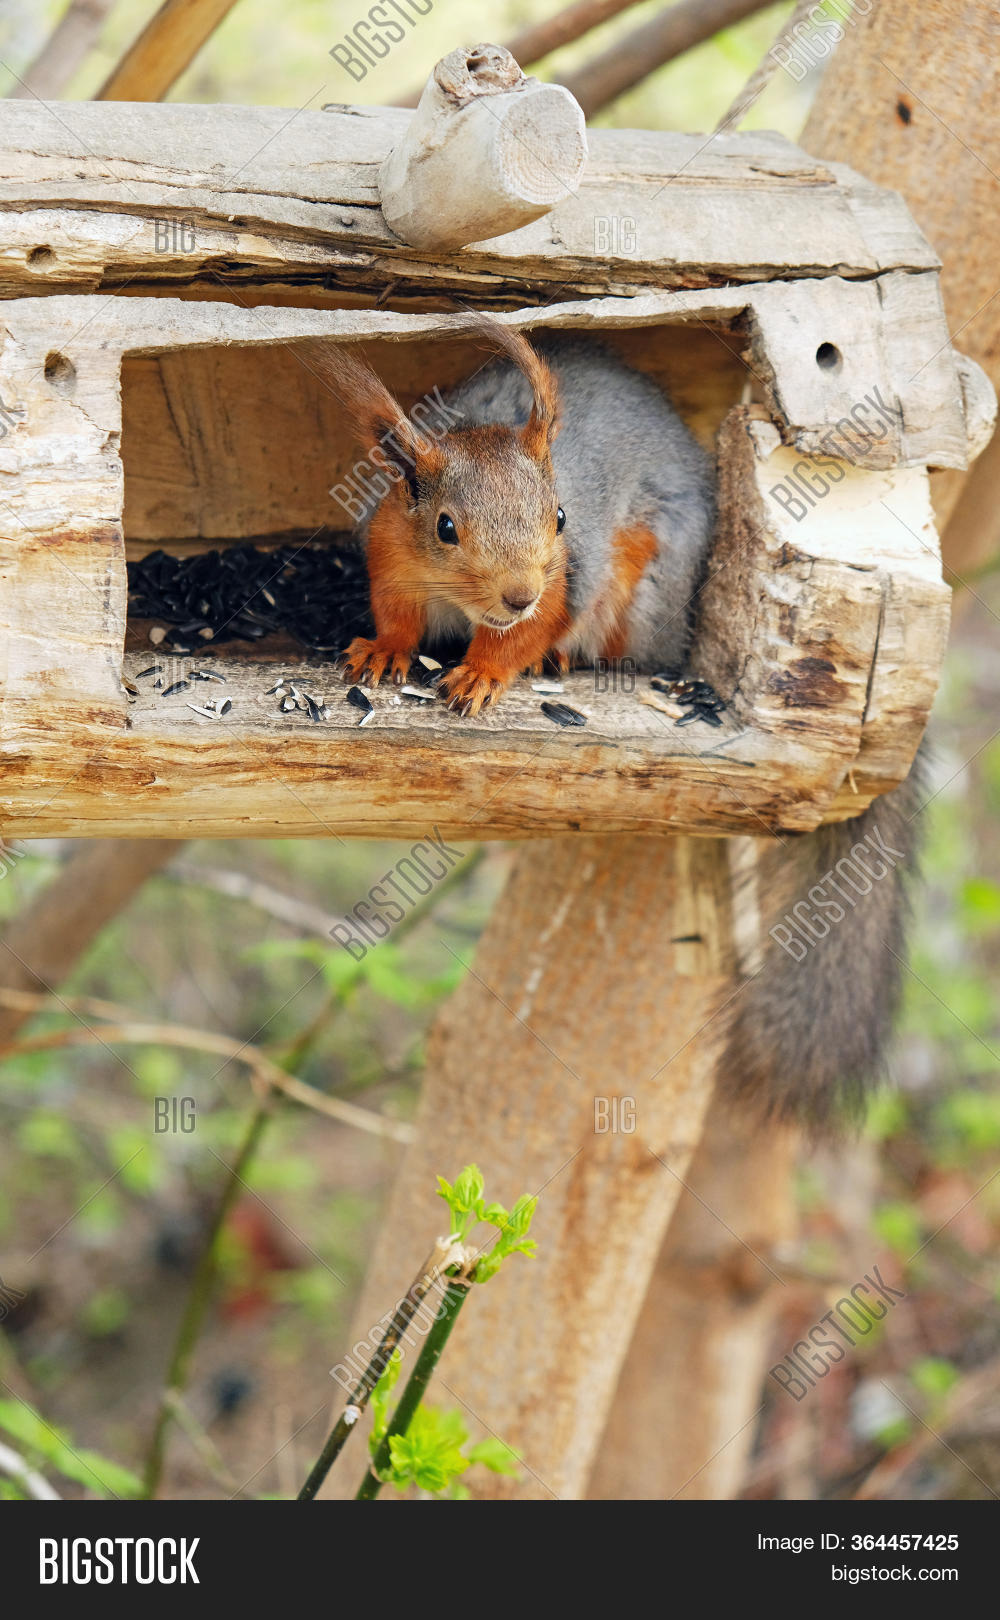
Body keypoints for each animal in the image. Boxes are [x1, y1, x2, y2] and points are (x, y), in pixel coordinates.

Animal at [323, 322, 924, 1127]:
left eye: (560, 518)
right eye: (446, 527)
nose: (517, 593)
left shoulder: (561, 583)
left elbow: (520, 639)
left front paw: (485, 673)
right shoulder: (391, 559)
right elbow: (396, 618)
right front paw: (386, 651)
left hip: (645, 581)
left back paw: (568, 662)